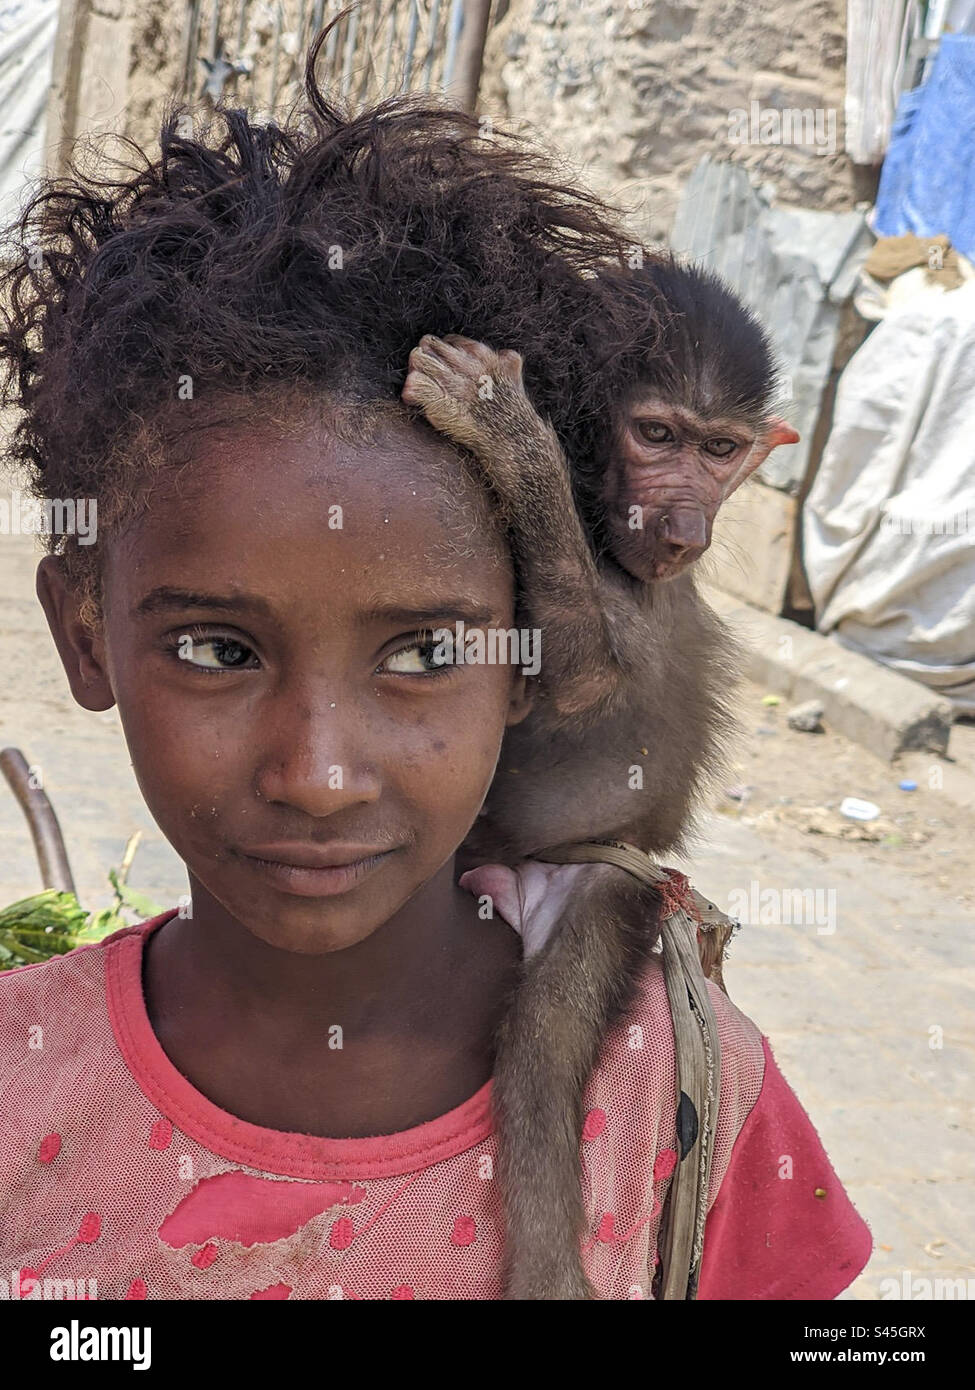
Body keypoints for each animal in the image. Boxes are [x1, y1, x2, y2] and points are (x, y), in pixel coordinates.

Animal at [400, 255, 798, 1300]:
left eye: (720, 448)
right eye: (656, 435)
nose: (687, 520)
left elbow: (579, 683)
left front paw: (508, 431)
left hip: (607, 888)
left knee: (540, 1047)